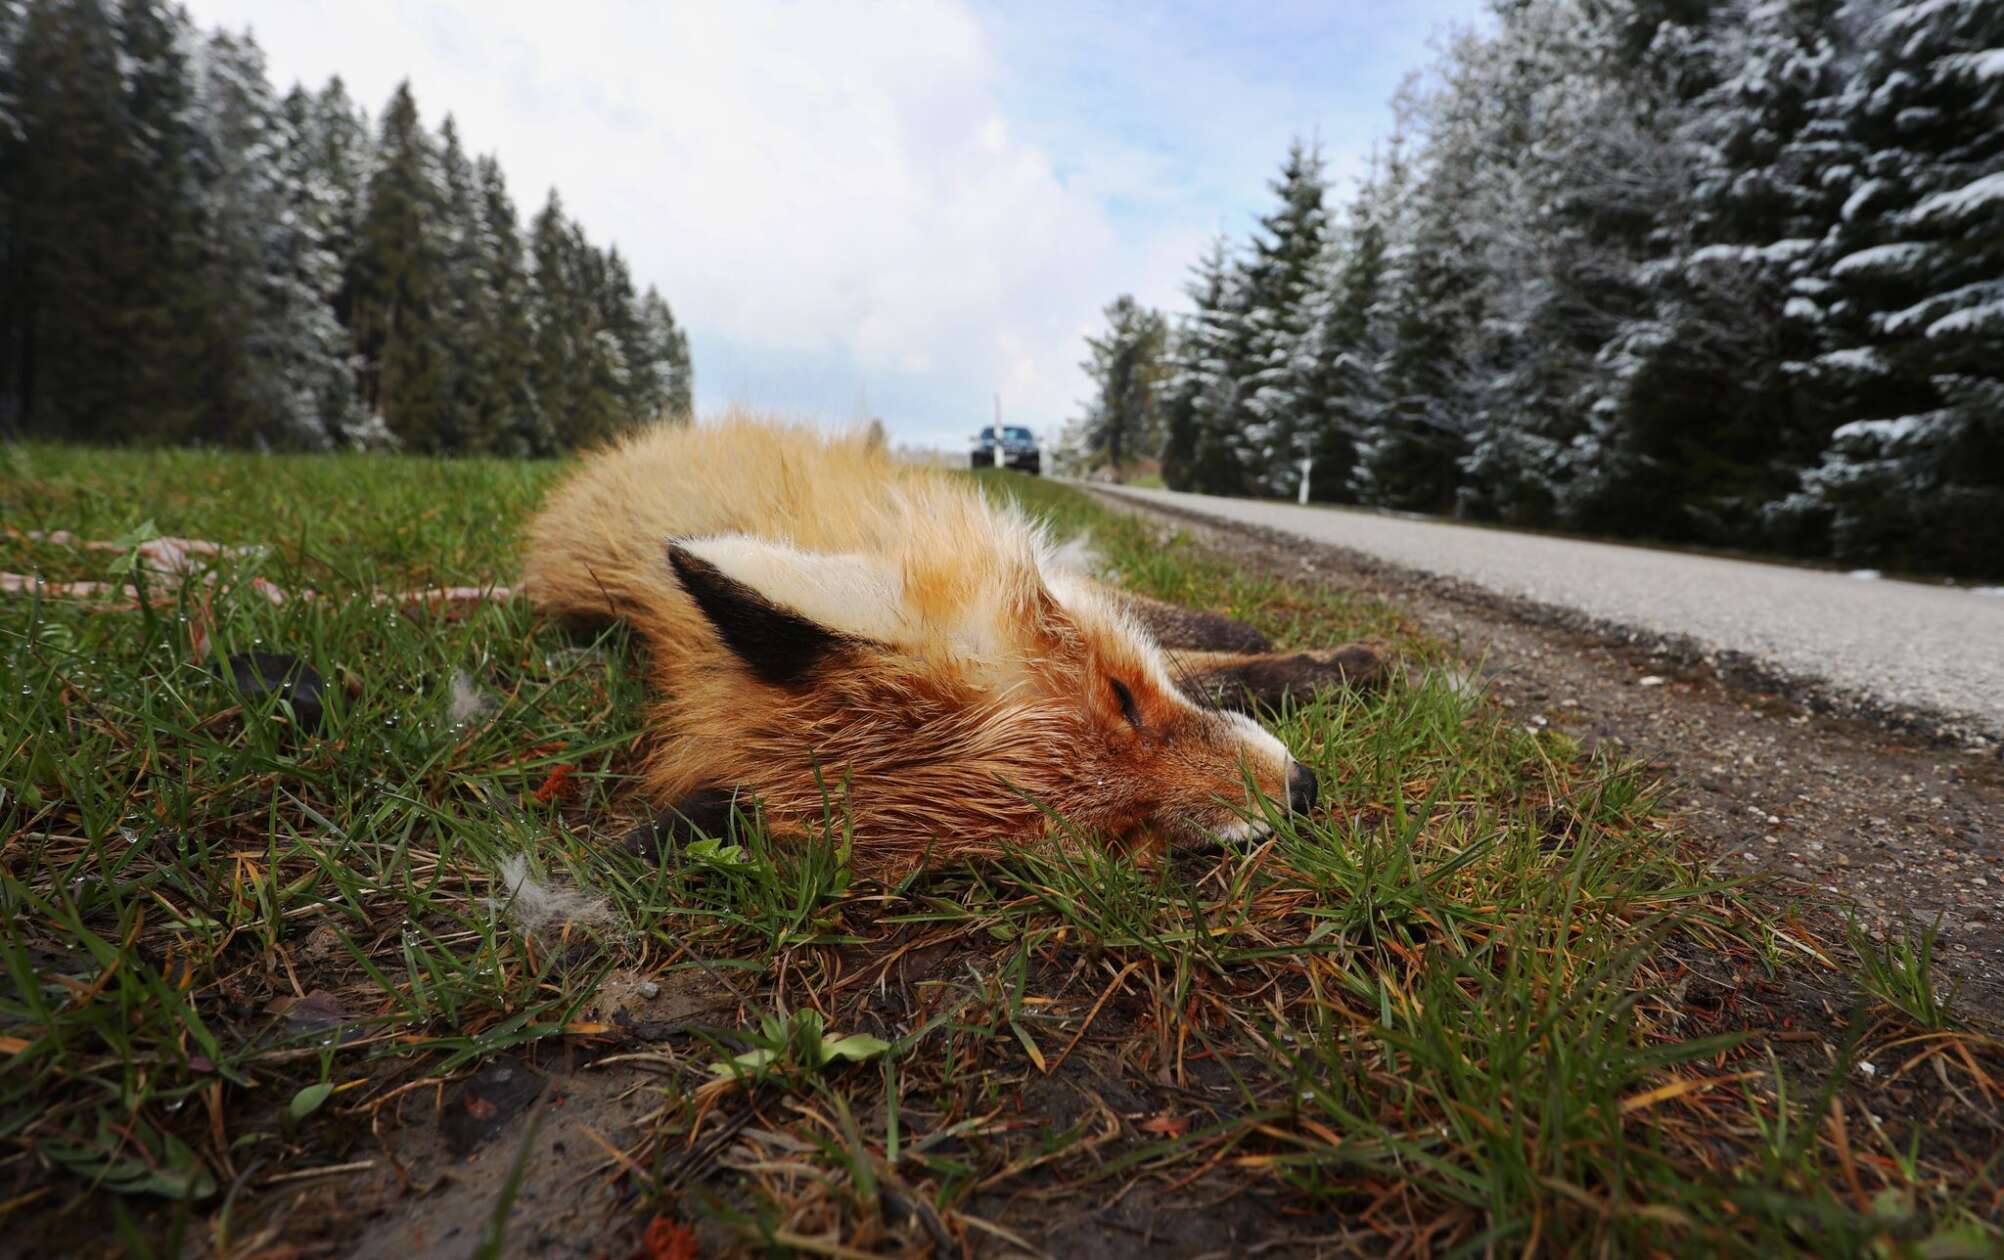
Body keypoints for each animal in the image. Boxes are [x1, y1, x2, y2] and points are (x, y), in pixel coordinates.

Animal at [521, 414, 1382, 875]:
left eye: (1123, 698)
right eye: (1121, 834)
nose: (1303, 790)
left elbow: (1173, 634)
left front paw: (1266, 642)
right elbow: (1211, 673)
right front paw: (1324, 668)